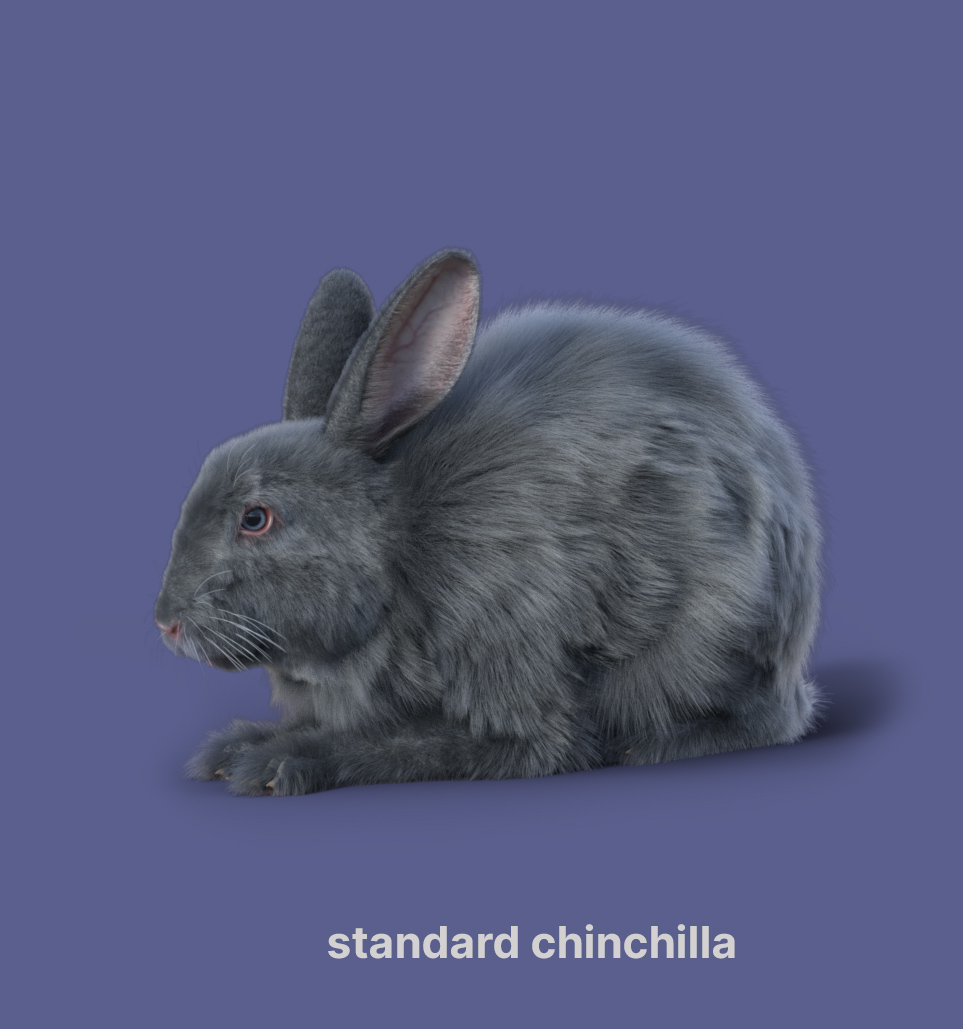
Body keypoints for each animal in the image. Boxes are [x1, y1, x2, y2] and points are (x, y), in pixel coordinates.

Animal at [154, 248, 821, 797]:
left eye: (256, 518)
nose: (165, 623)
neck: (398, 547)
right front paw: (231, 749)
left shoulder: (509, 656)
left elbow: (436, 746)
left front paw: (280, 762)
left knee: (757, 720)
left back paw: (654, 744)